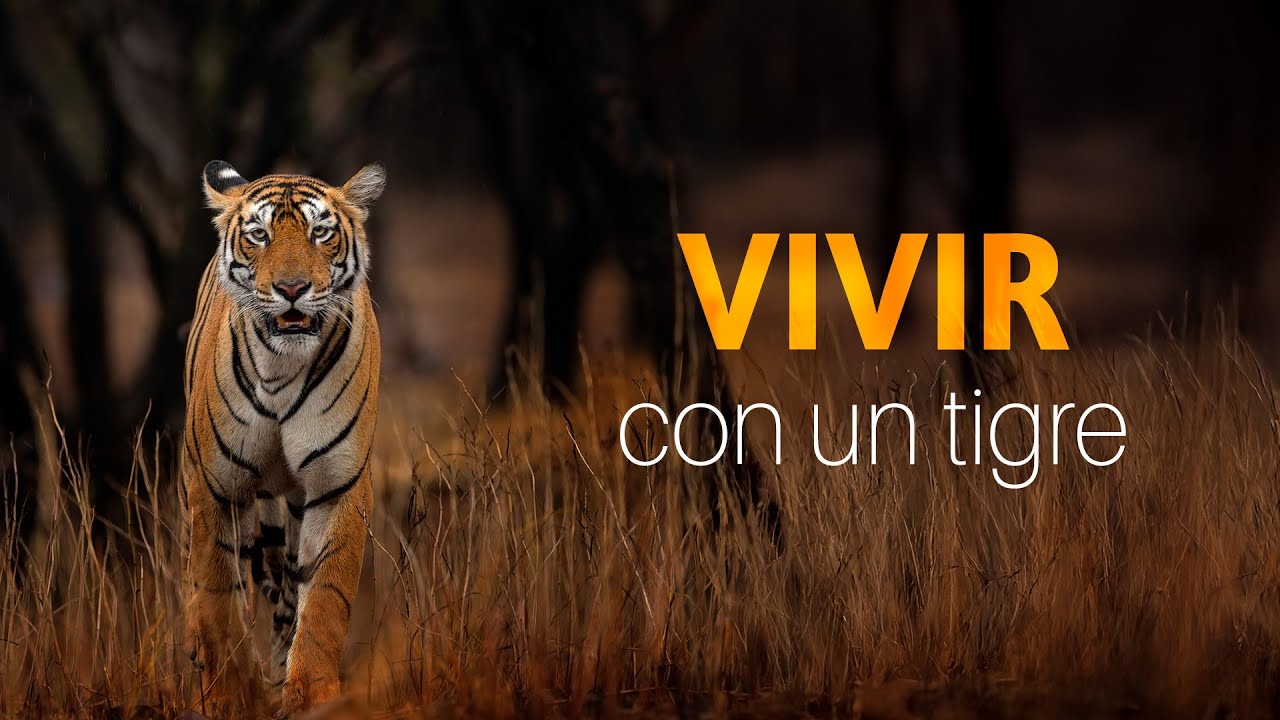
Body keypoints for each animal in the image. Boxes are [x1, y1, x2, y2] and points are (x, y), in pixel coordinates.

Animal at [182, 159, 384, 714]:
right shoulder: (217, 485)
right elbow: (218, 593)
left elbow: (325, 600)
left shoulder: (337, 485)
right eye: (259, 235)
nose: (292, 288)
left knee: (288, 590)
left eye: (320, 233)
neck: (282, 368)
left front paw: (311, 694)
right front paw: (229, 692)